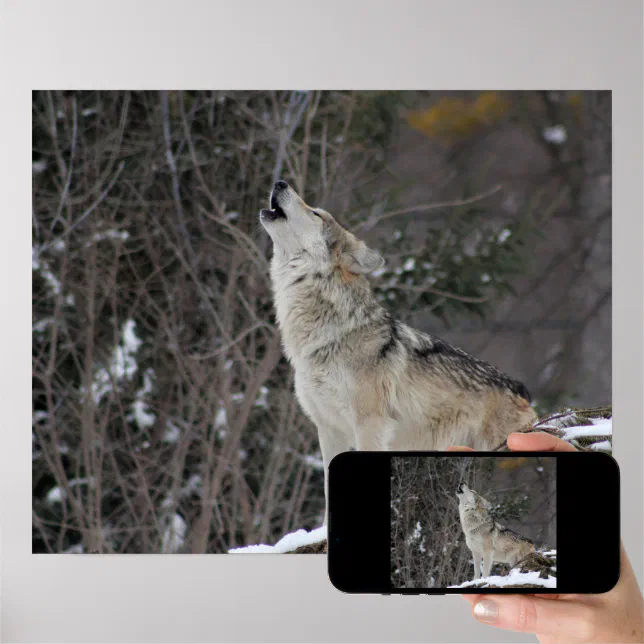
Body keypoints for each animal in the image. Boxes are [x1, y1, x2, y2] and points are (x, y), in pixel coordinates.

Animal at [259, 180, 536, 522]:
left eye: (316, 213)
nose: (280, 182)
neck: (327, 334)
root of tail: (522, 390)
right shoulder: (328, 428)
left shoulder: (370, 423)